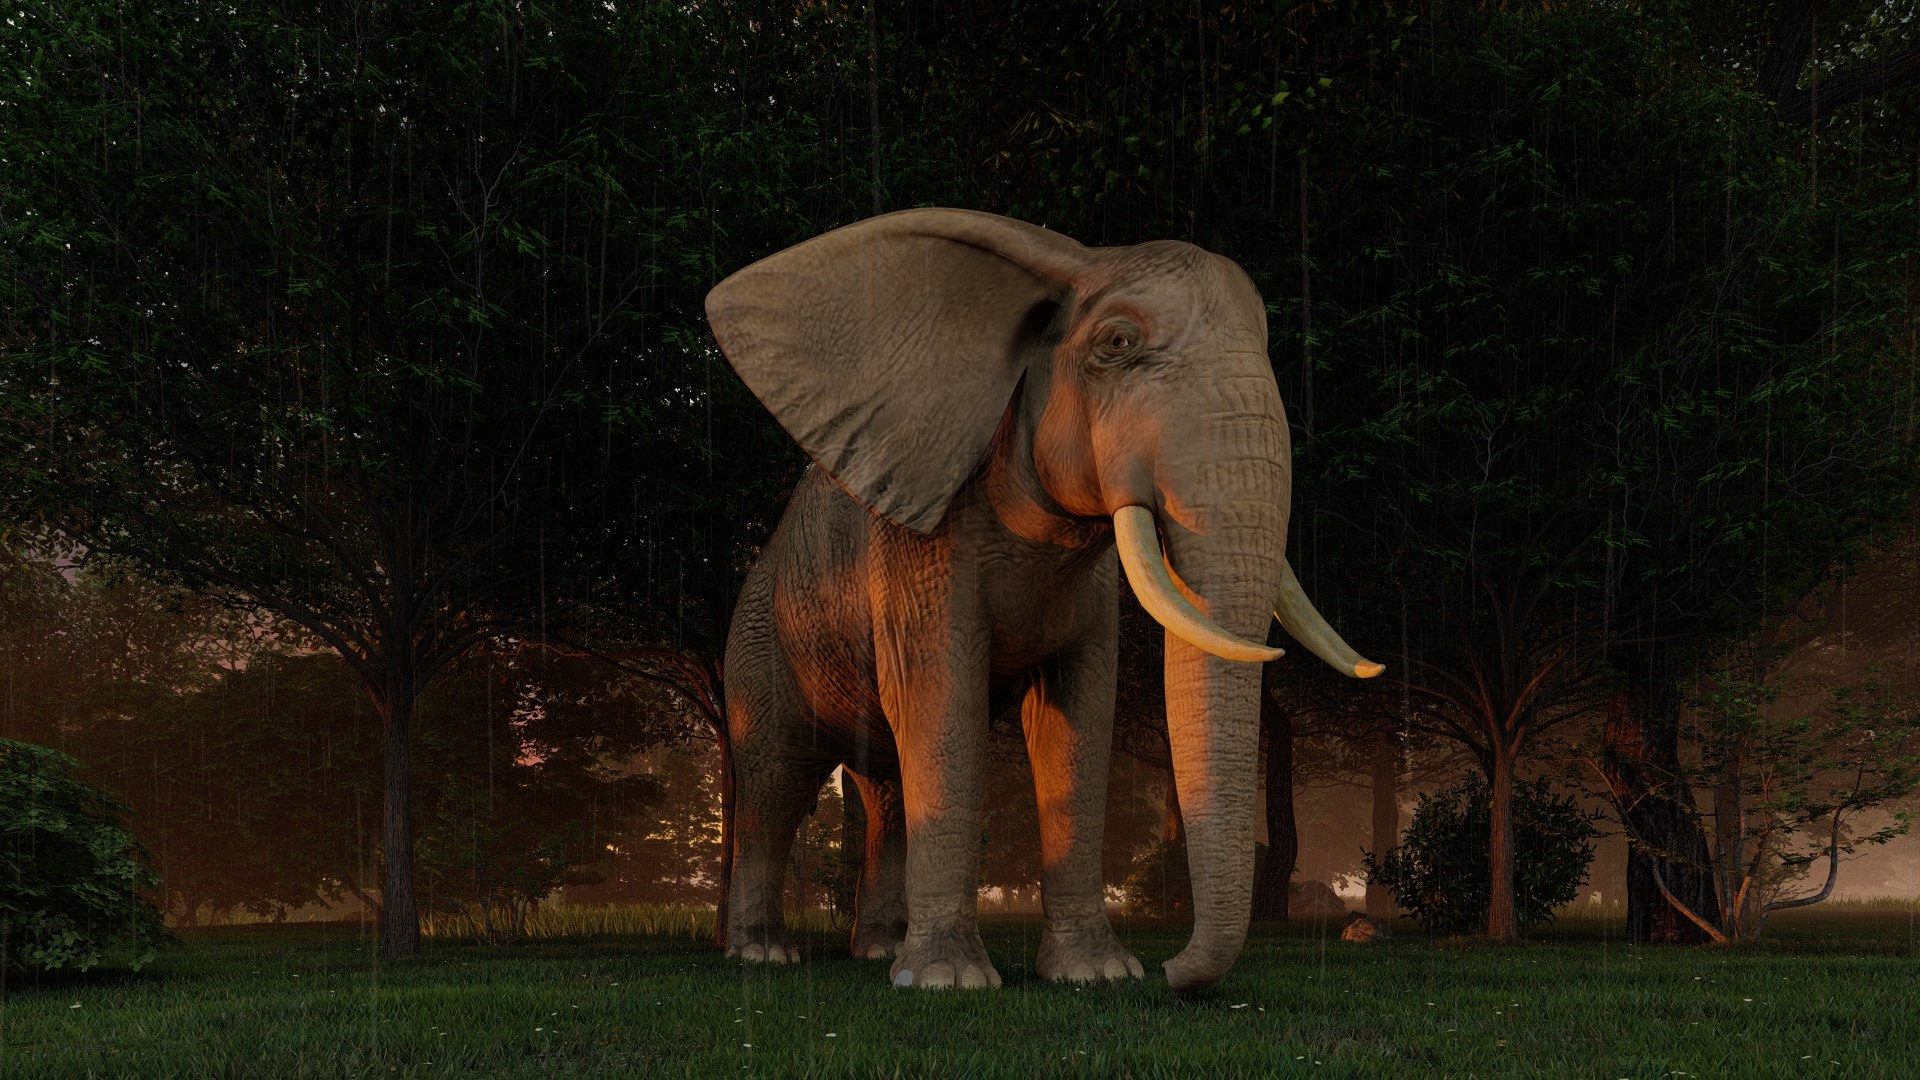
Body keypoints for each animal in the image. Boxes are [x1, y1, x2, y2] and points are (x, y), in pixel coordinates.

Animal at [706, 208, 1379, 992]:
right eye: (1116, 344)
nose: (1174, 971)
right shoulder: (922, 553)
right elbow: (945, 707)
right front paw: (950, 985)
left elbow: (1077, 719)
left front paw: (1098, 975)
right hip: (760, 635)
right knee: (775, 778)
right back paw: (762, 955)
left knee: (887, 788)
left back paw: (877, 953)